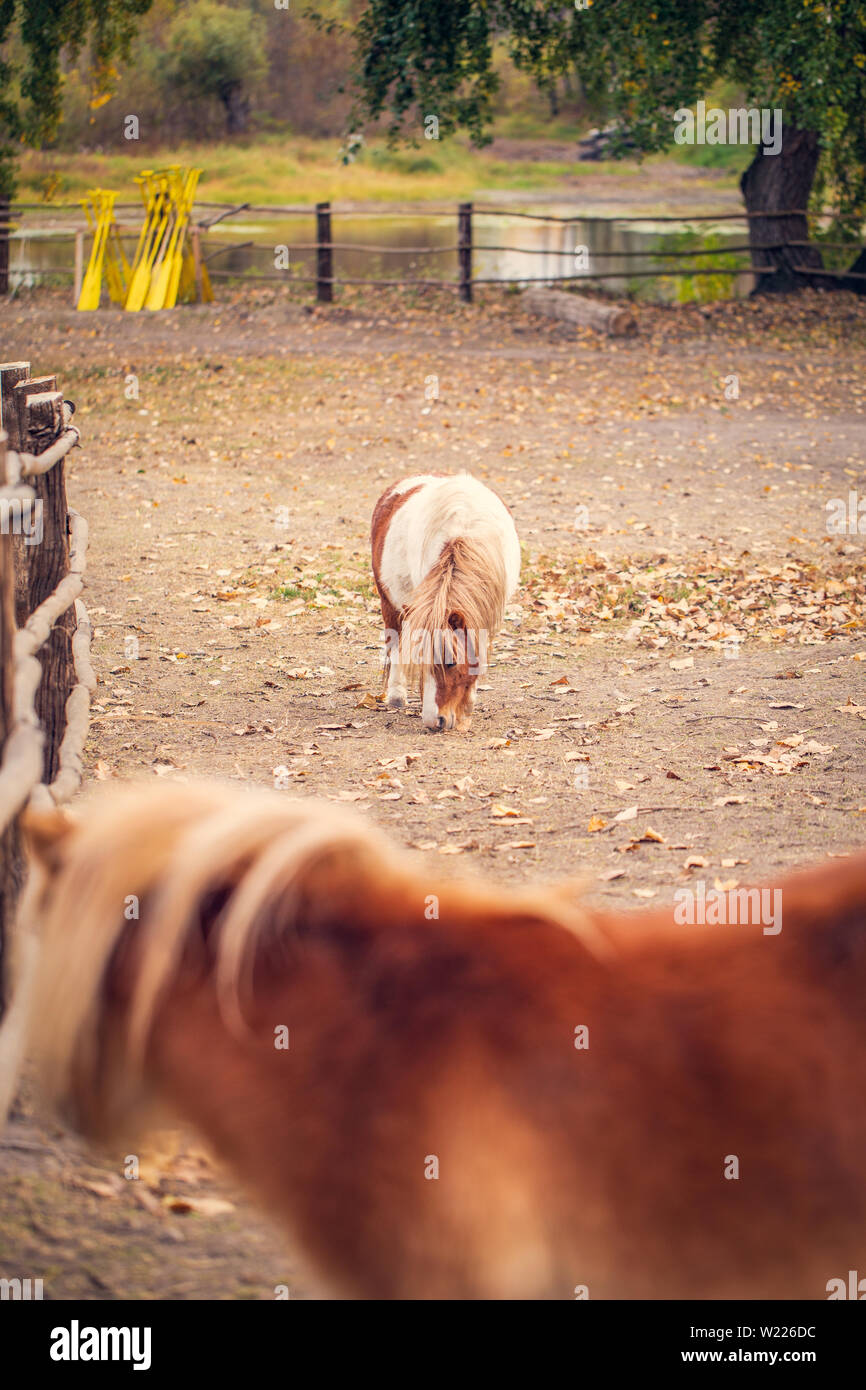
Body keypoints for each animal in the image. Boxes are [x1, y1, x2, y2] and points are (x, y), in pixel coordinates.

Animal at [370, 473, 520, 731]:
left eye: (451, 663)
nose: (434, 721)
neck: (464, 534)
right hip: (390, 603)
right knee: (396, 642)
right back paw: (397, 695)